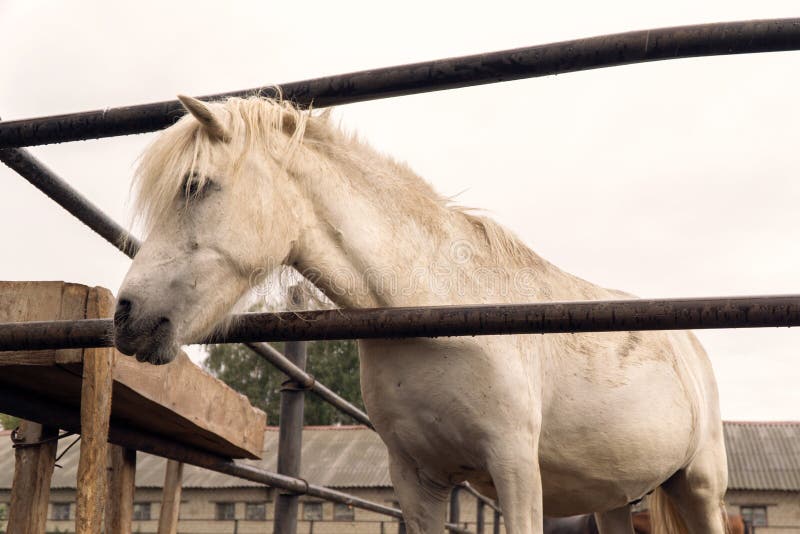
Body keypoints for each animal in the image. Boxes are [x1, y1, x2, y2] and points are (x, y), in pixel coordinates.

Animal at [113, 95, 729, 533]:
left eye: (196, 184)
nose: (126, 316)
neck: (439, 309)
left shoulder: (516, 469)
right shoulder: (417, 479)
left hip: (699, 486)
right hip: (614, 499)